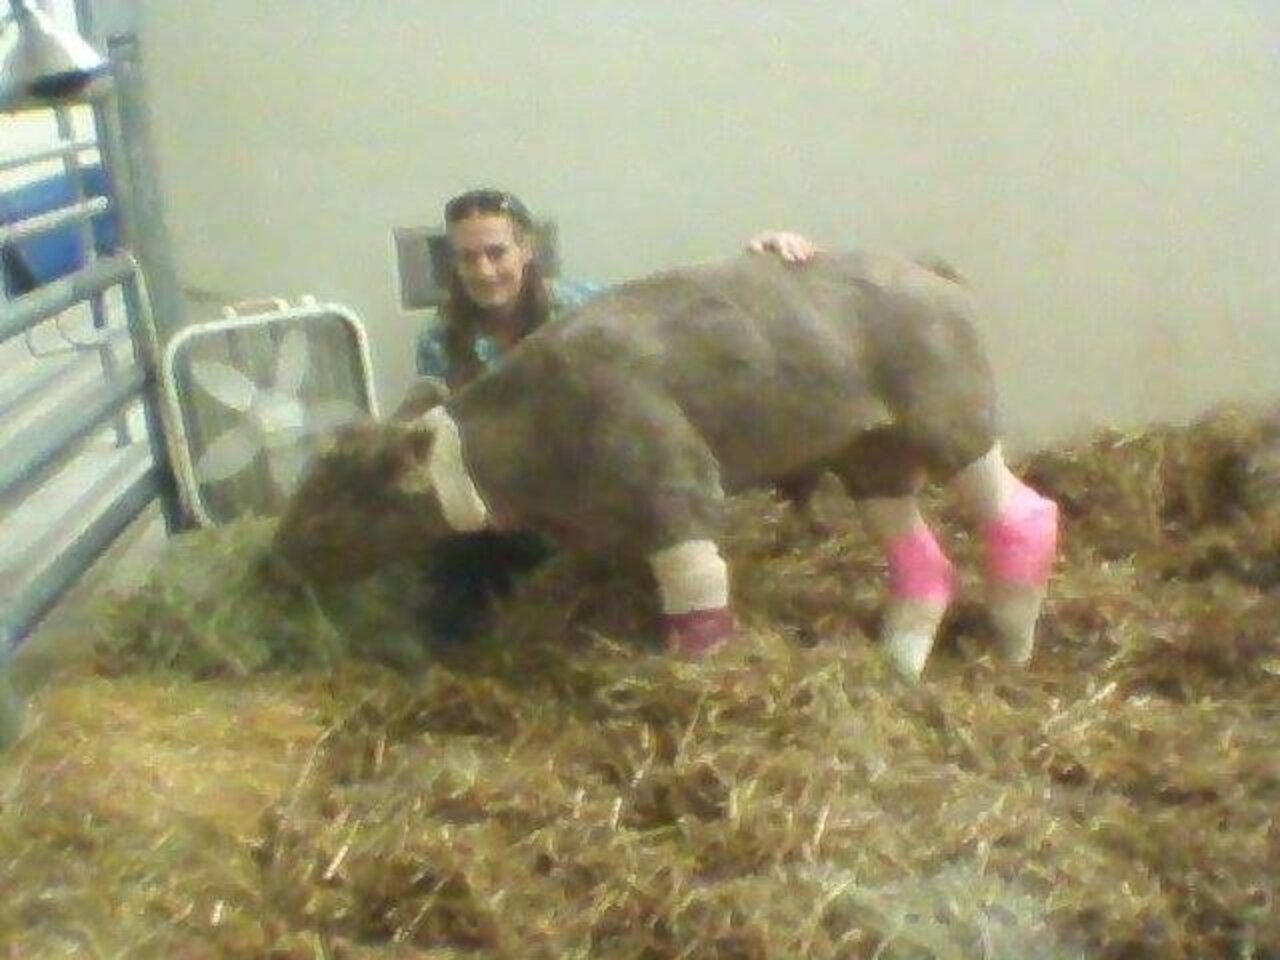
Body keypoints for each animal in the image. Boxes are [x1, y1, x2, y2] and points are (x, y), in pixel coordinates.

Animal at [272, 249, 1058, 679]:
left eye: (340, 489)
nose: (277, 556)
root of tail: (929, 269)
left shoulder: (676, 493)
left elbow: (699, 611)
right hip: (873, 461)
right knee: (924, 561)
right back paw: (900, 661)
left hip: (953, 427)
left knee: (1025, 514)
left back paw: (1013, 647)